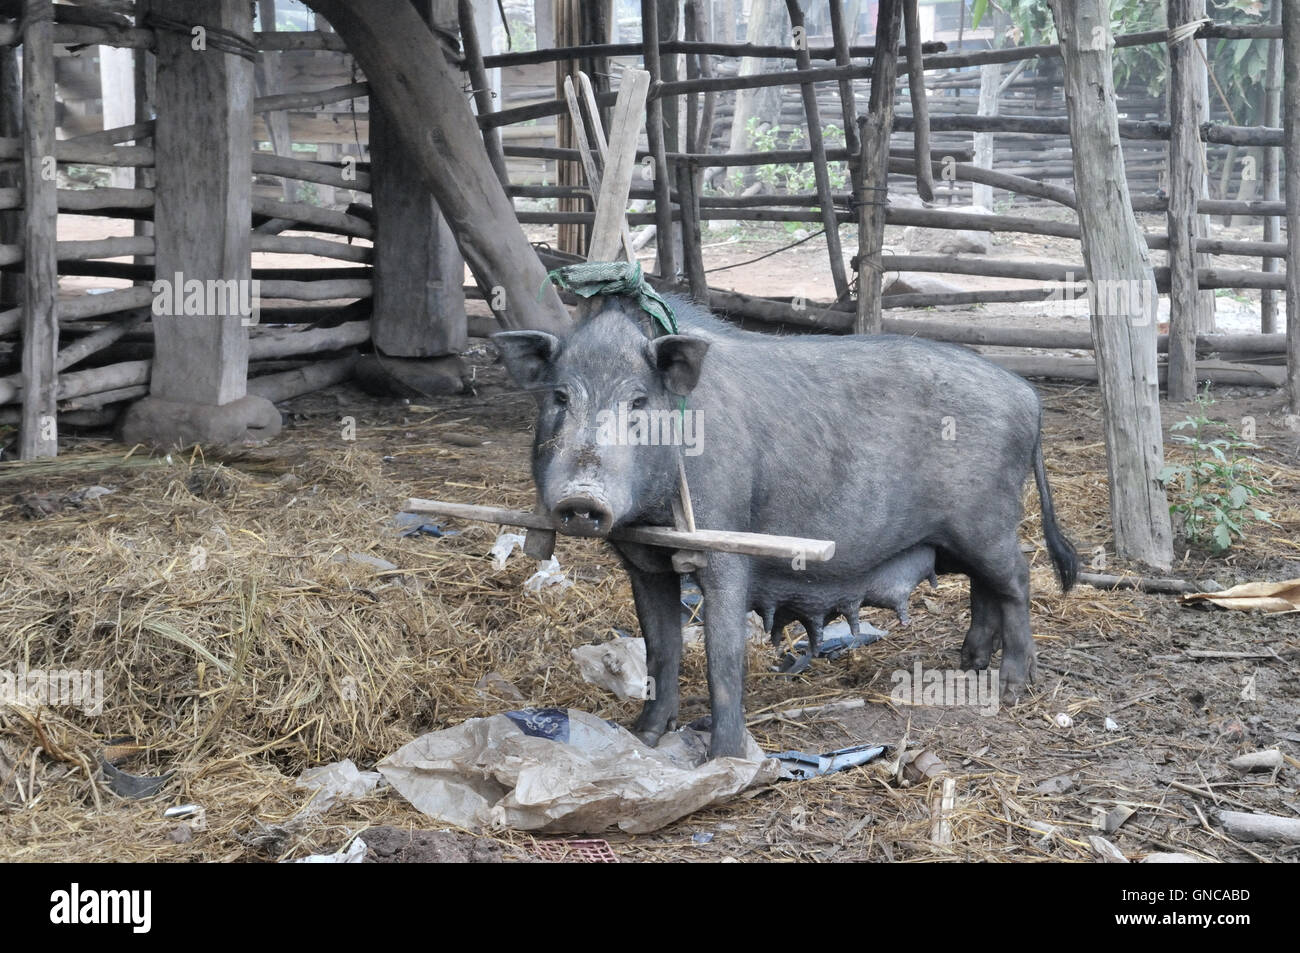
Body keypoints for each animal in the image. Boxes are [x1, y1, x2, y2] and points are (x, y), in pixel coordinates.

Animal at [495, 294, 1078, 759]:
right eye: (559, 398)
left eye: (638, 401)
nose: (581, 500)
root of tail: (1027, 393)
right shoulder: (643, 561)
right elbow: (662, 648)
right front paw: (644, 738)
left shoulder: (726, 544)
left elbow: (723, 653)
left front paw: (725, 759)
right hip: (963, 535)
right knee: (985, 587)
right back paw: (970, 663)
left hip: (987, 520)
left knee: (1018, 578)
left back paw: (1010, 687)